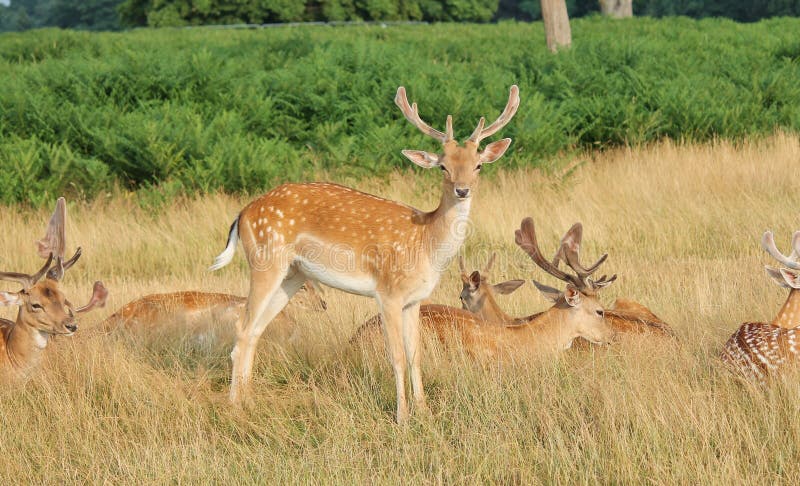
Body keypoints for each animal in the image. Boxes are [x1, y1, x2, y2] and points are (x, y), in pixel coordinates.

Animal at [209, 85, 519, 422]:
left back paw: (250, 403)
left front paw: (424, 412)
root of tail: (242, 215)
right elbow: (396, 355)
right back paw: (234, 406)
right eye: (443, 166)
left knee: (256, 330)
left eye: (478, 164)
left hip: (293, 275)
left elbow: (416, 355)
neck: (425, 242)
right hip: (265, 259)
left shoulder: (415, 299)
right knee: (242, 327)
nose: (462, 190)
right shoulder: (388, 292)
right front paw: (402, 417)